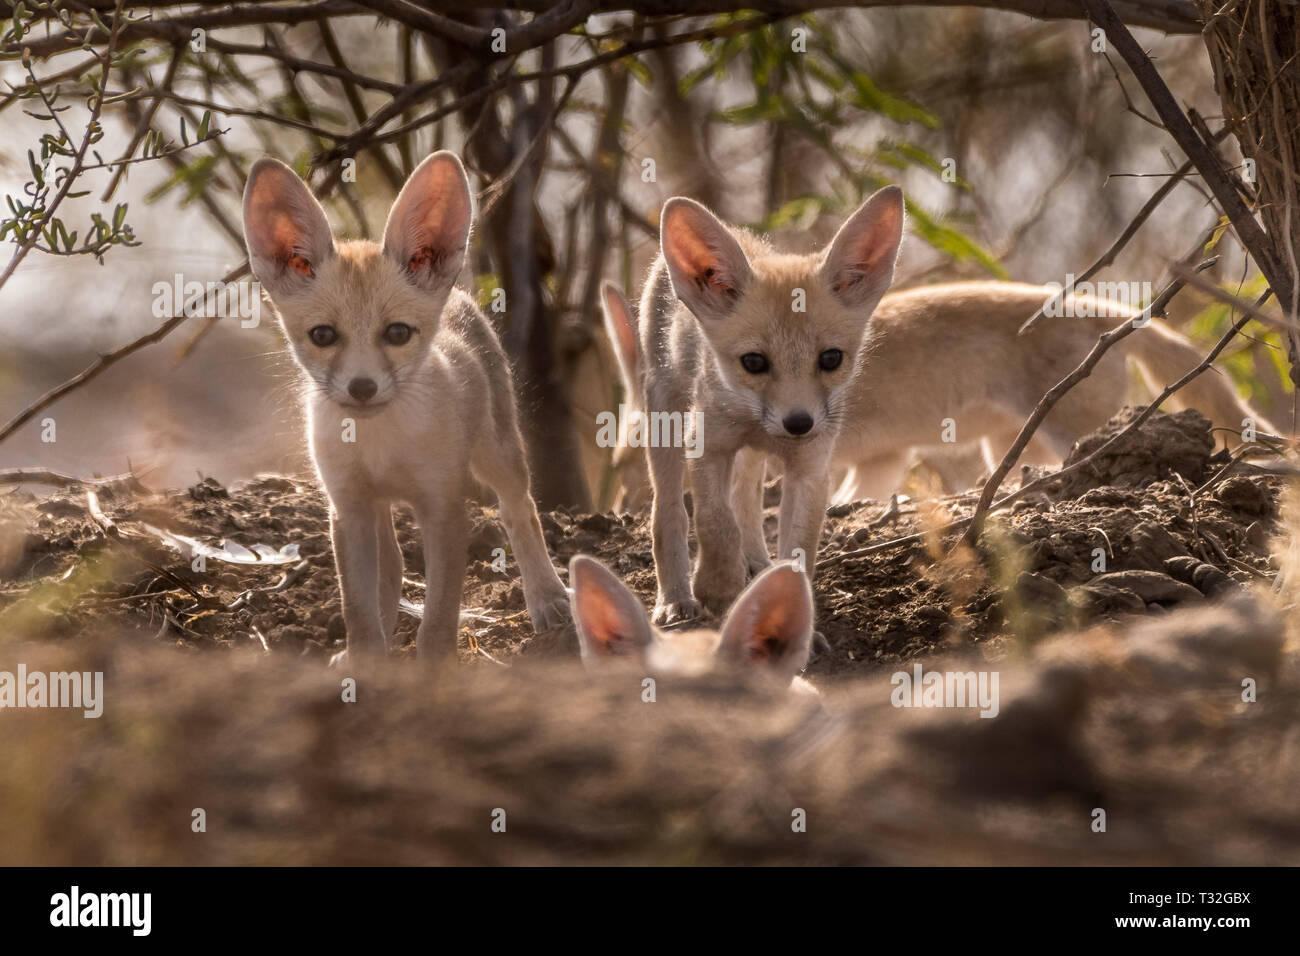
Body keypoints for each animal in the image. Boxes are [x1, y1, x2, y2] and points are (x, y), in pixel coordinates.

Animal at [242, 151, 570, 662]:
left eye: (397, 333)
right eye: (323, 335)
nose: (361, 387)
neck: (380, 445)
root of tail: (457, 293)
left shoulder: (443, 507)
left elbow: (439, 615)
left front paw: (435, 667)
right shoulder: (348, 507)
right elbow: (357, 607)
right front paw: (365, 660)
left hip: (499, 456)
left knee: (521, 513)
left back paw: (547, 597)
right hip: (377, 507)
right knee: (393, 563)